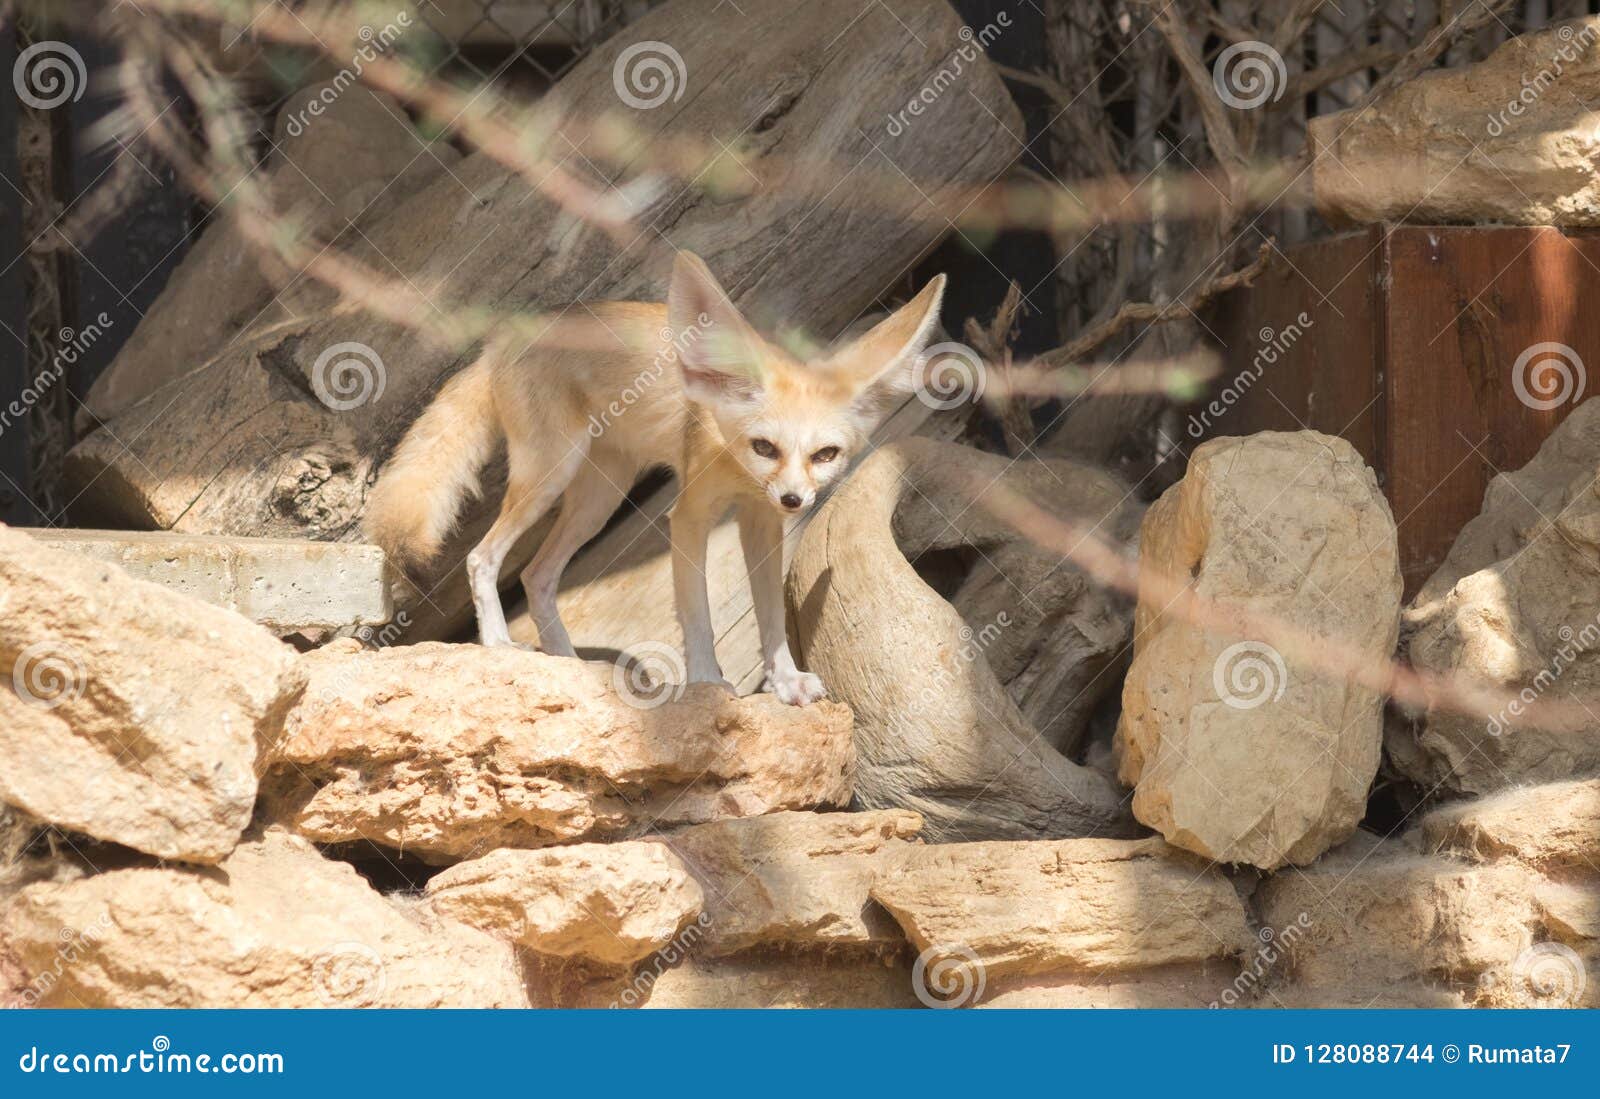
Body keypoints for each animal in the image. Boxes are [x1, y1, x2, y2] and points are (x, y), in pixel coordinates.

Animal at [364, 250, 946, 705]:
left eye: (826, 454)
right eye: (765, 447)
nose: (794, 499)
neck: (739, 469)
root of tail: (503, 340)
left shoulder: (760, 523)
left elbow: (771, 614)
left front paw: (785, 681)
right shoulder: (687, 516)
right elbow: (697, 613)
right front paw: (708, 683)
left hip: (597, 501)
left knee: (535, 575)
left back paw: (569, 663)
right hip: (551, 475)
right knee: (481, 557)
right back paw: (498, 644)